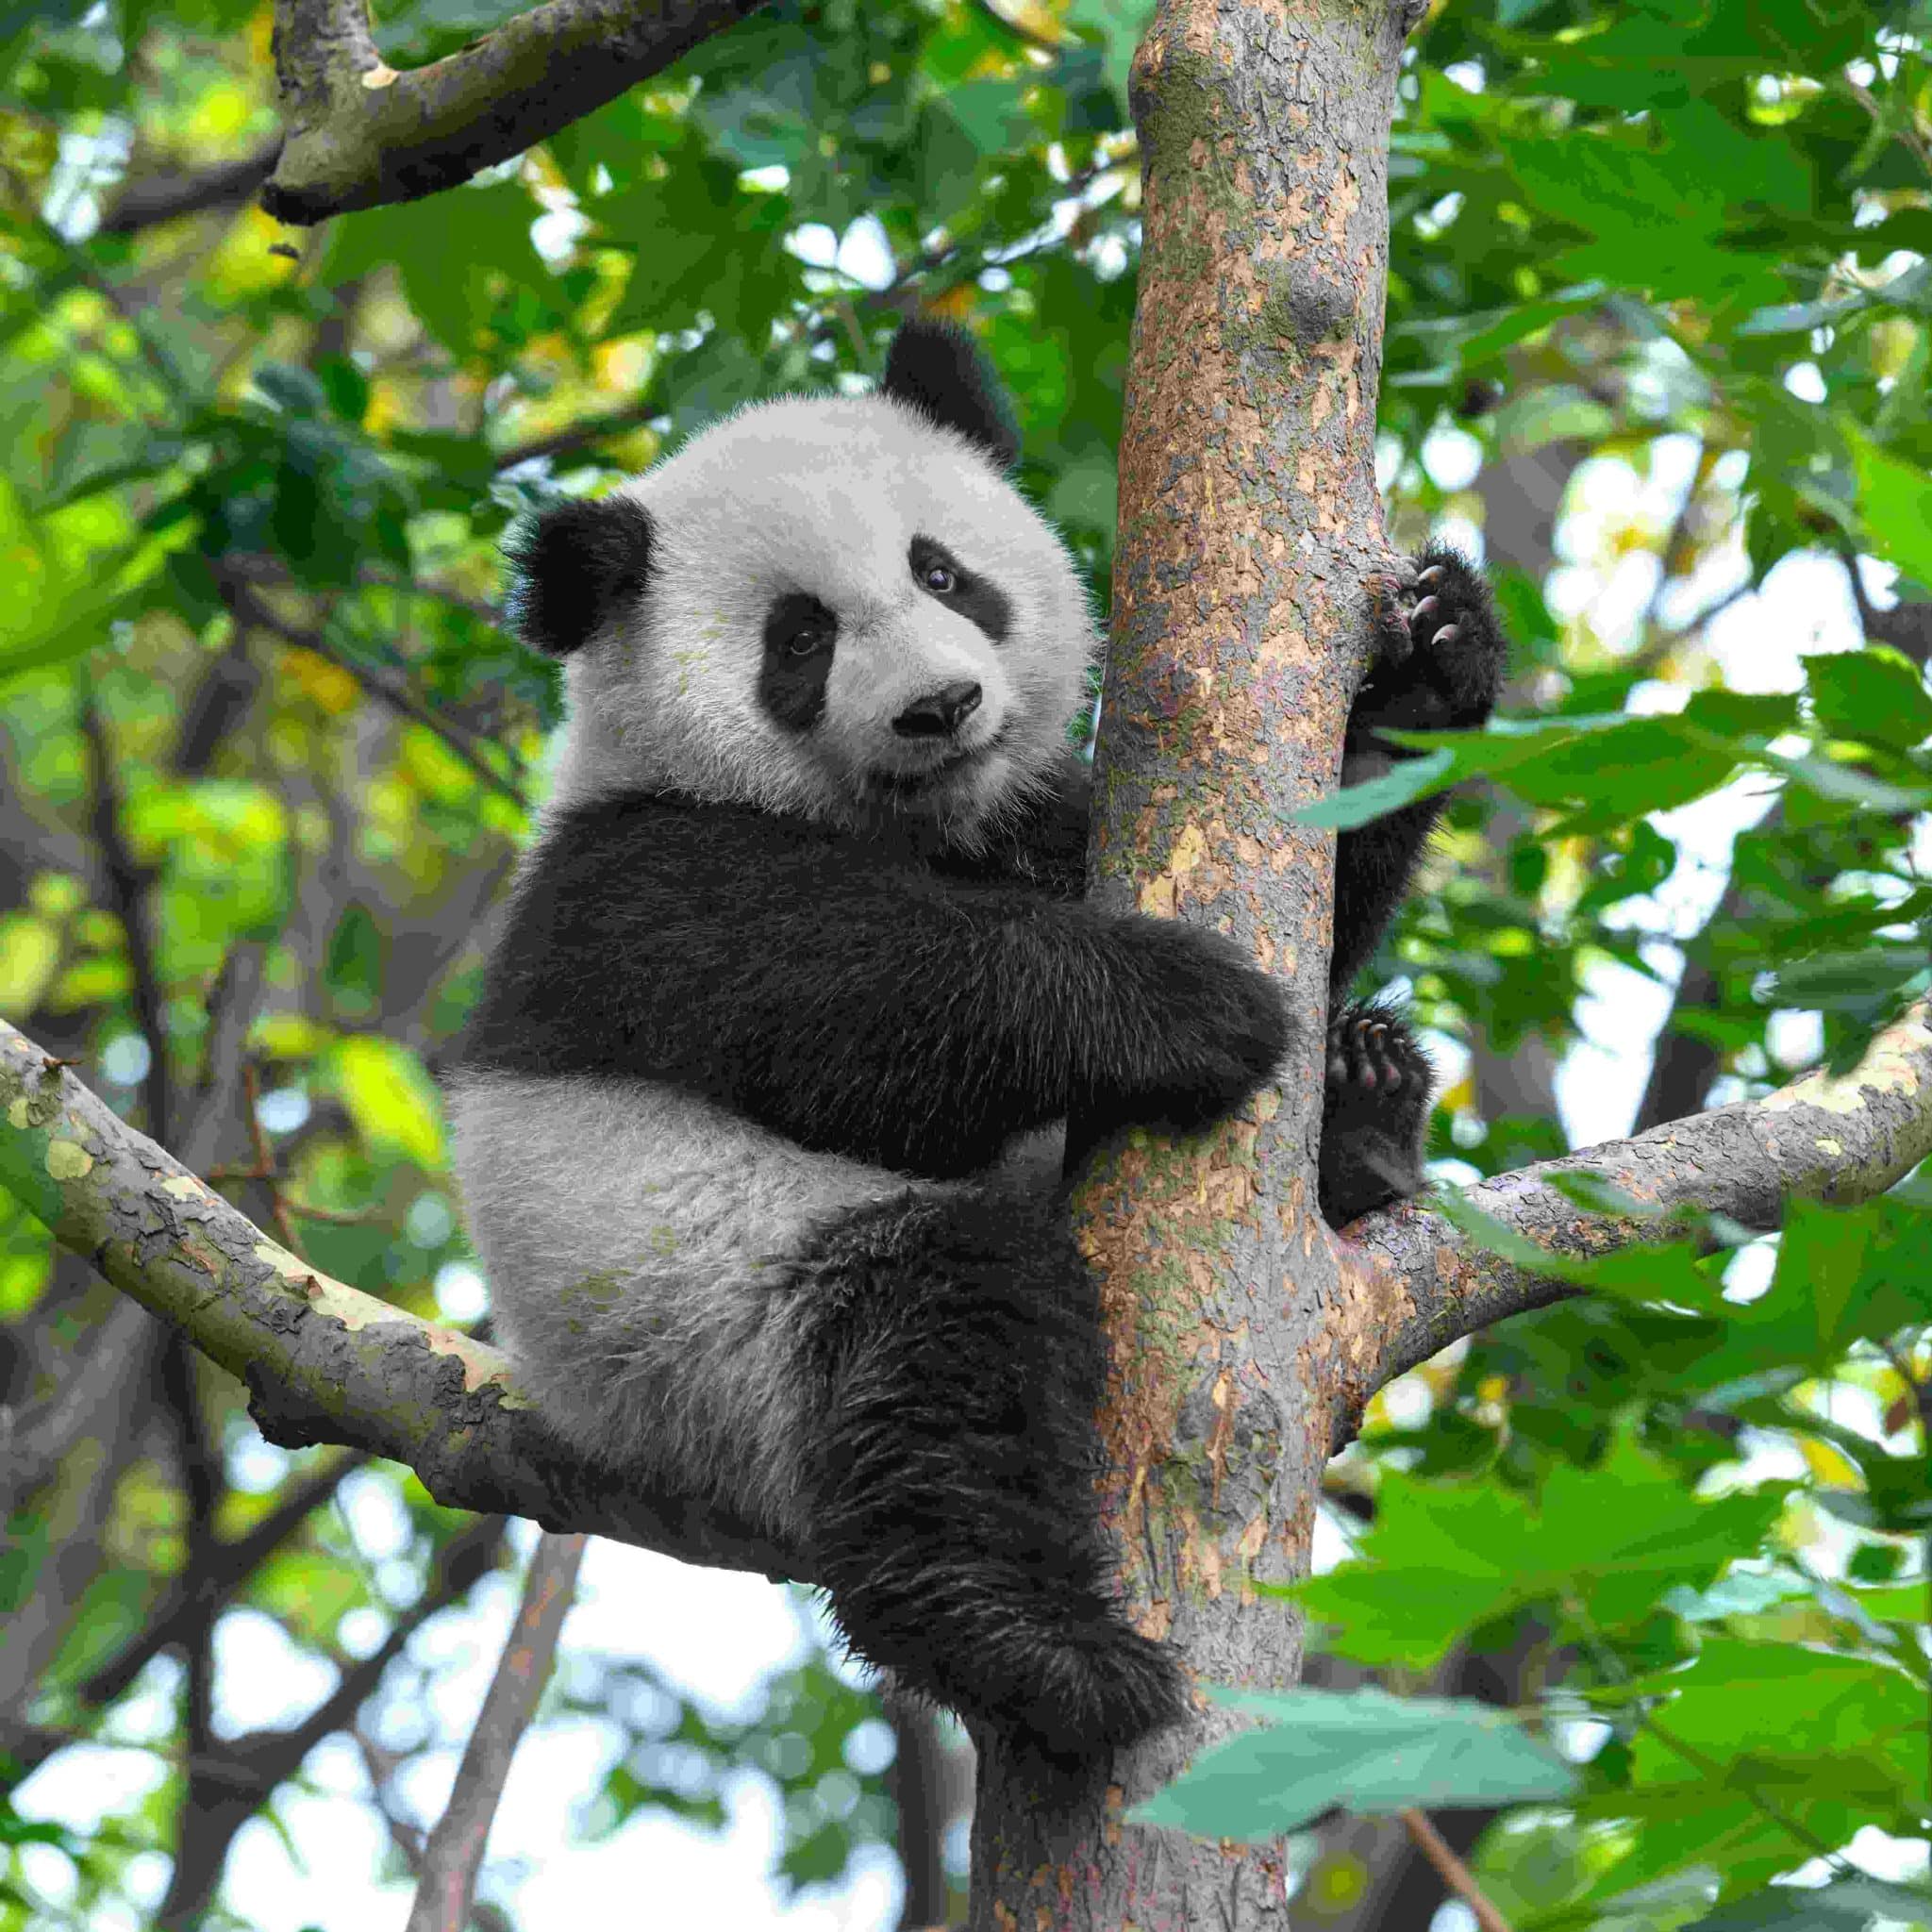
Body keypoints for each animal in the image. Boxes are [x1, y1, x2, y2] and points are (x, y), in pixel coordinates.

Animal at [446, 319, 1505, 1766]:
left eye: (942, 572)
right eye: (800, 638)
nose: (939, 706)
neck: (914, 821)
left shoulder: (1038, 815)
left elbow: (1323, 870)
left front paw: (1437, 654)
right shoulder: (637, 885)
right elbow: (861, 1015)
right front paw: (1188, 1004)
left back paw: (1367, 1108)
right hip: (699, 1318)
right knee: (938, 1342)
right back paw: (1038, 1648)